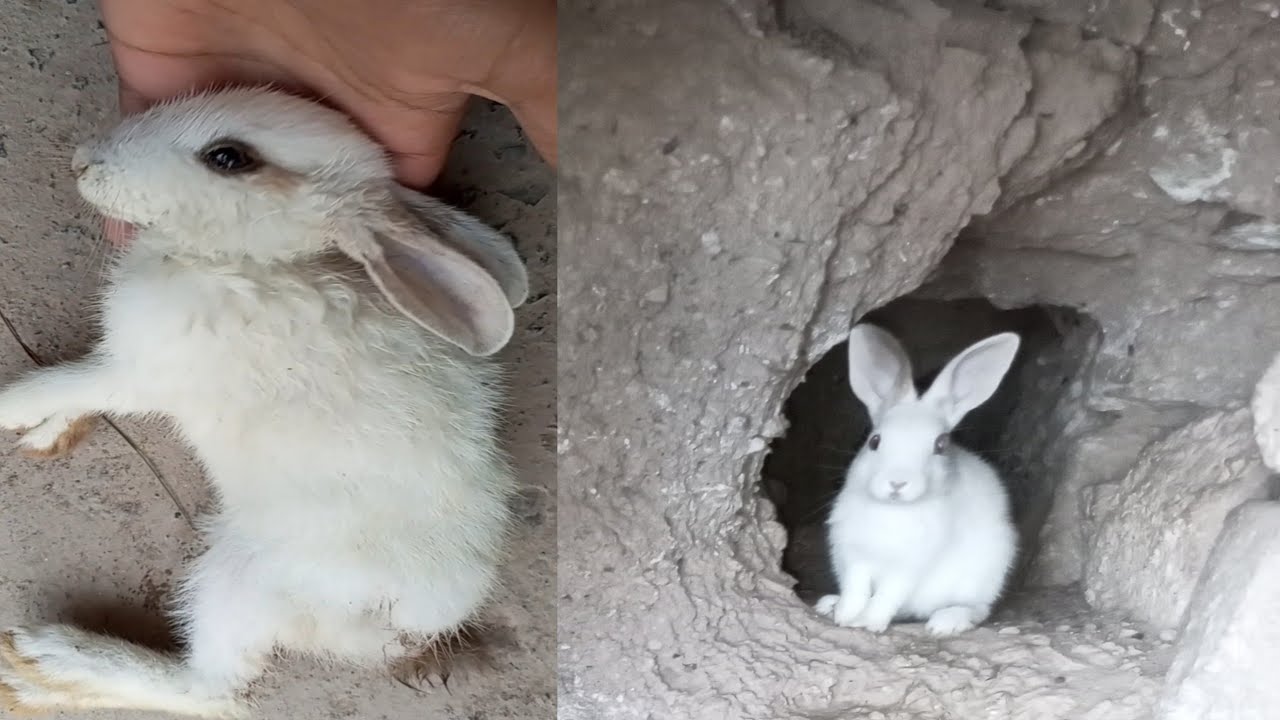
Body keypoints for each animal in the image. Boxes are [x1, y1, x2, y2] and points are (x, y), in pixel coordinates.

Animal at [0, 86, 530, 718]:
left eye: (229, 158)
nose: (84, 160)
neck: (247, 262)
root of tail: (411, 627)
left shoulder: (140, 373)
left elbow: (60, 383)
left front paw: (10, 412)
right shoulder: (126, 371)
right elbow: (74, 392)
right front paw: (45, 437)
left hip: (239, 574)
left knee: (214, 692)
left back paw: (40, 664)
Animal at [813, 324, 1020, 636]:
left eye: (940, 445)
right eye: (874, 441)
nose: (897, 483)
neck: (893, 511)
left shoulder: (907, 568)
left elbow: (887, 596)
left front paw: (869, 623)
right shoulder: (854, 556)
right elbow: (856, 590)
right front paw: (845, 616)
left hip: (989, 569)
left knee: (977, 609)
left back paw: (945, 622)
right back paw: (828, 604)